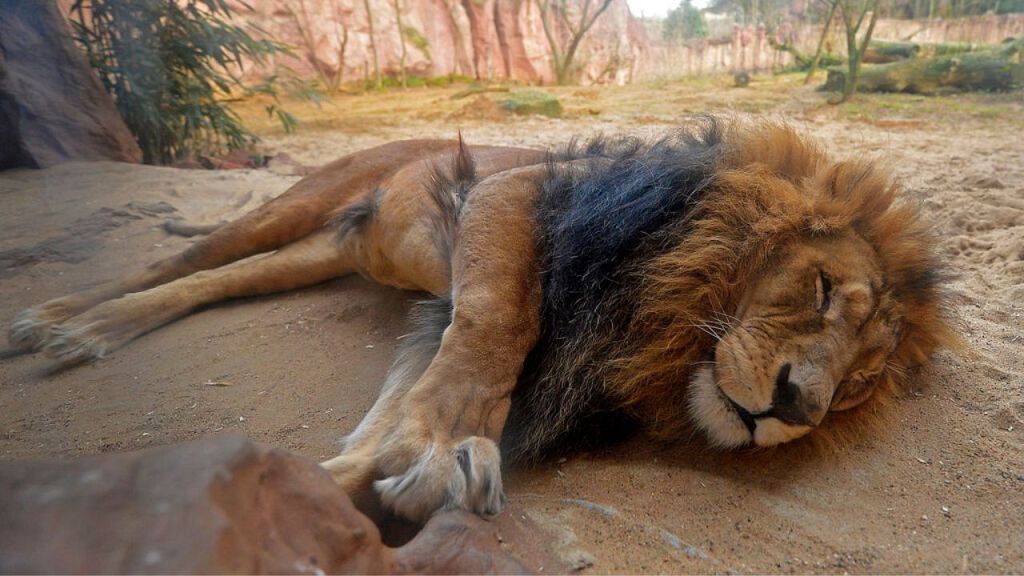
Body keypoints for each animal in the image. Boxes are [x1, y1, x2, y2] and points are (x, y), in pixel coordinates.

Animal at [7, 118, 957, 523]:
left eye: (857, 384)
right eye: (823, 289)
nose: (800, 405)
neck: (665, 321)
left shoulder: (435, 319)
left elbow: (373, 436)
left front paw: (364, 480)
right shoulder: (512, 193)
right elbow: (499, 326)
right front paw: (447, 446)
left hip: (327, 249)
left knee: (212, 284)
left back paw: (94, 329)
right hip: (299, 202)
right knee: (175, 262)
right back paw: (59, 320)